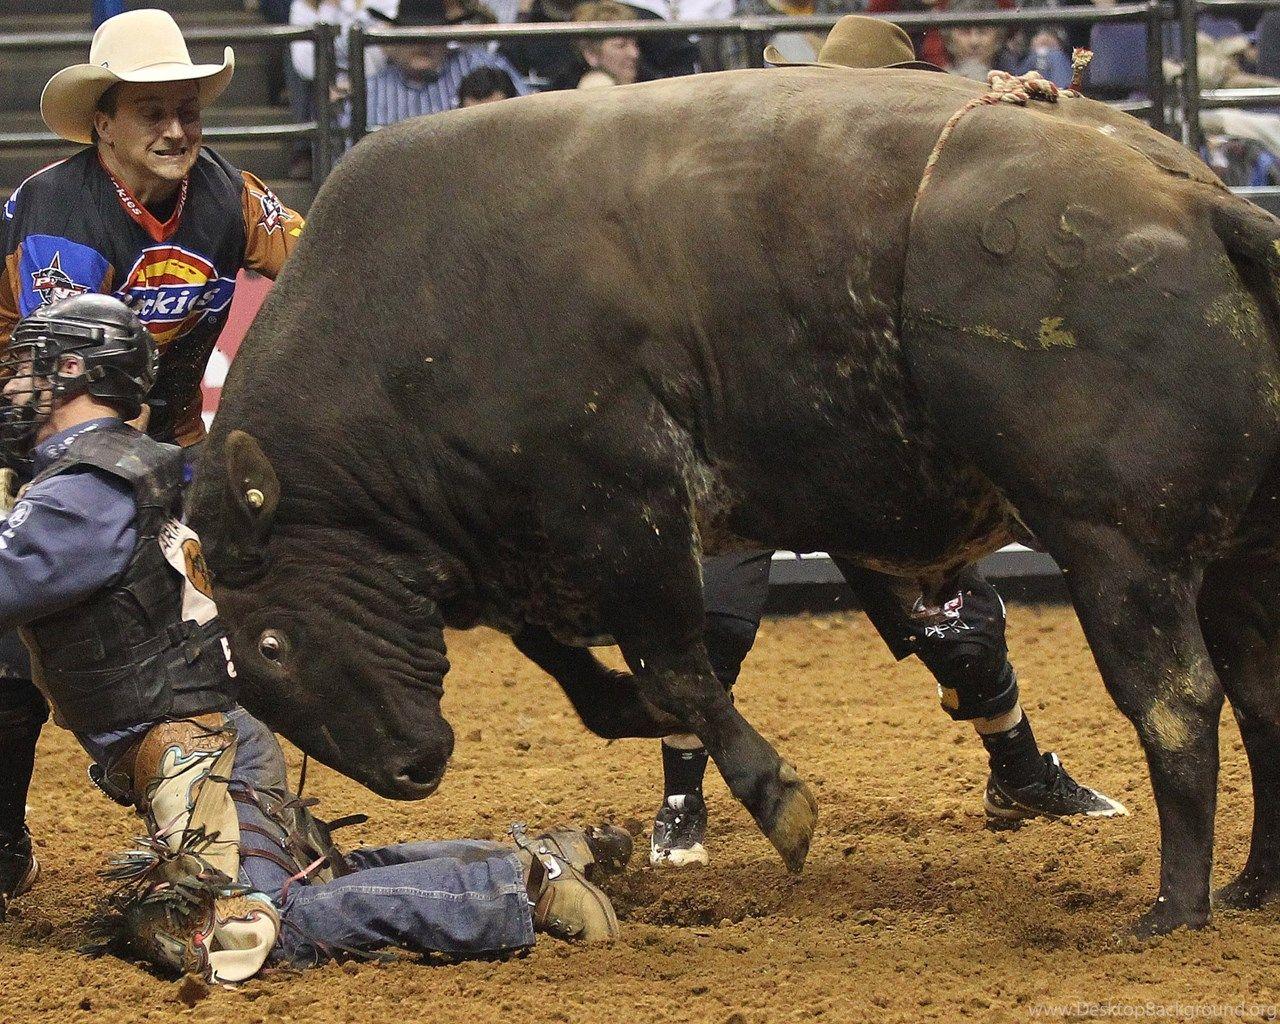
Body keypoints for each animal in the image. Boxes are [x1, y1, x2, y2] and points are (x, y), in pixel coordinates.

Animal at [189, 67, 1280, 936]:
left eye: (273, 642)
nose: (410, 768)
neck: (411, 321)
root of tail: (1200, 204)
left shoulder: (622, 508)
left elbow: (678, 669)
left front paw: (779, 799)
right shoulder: (519, 550)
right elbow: (598, 681)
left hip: (1118, 547)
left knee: (1178, 705)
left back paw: (1173, 907)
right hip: (1234, 555)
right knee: (1258, 694)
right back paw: (1250, 886)